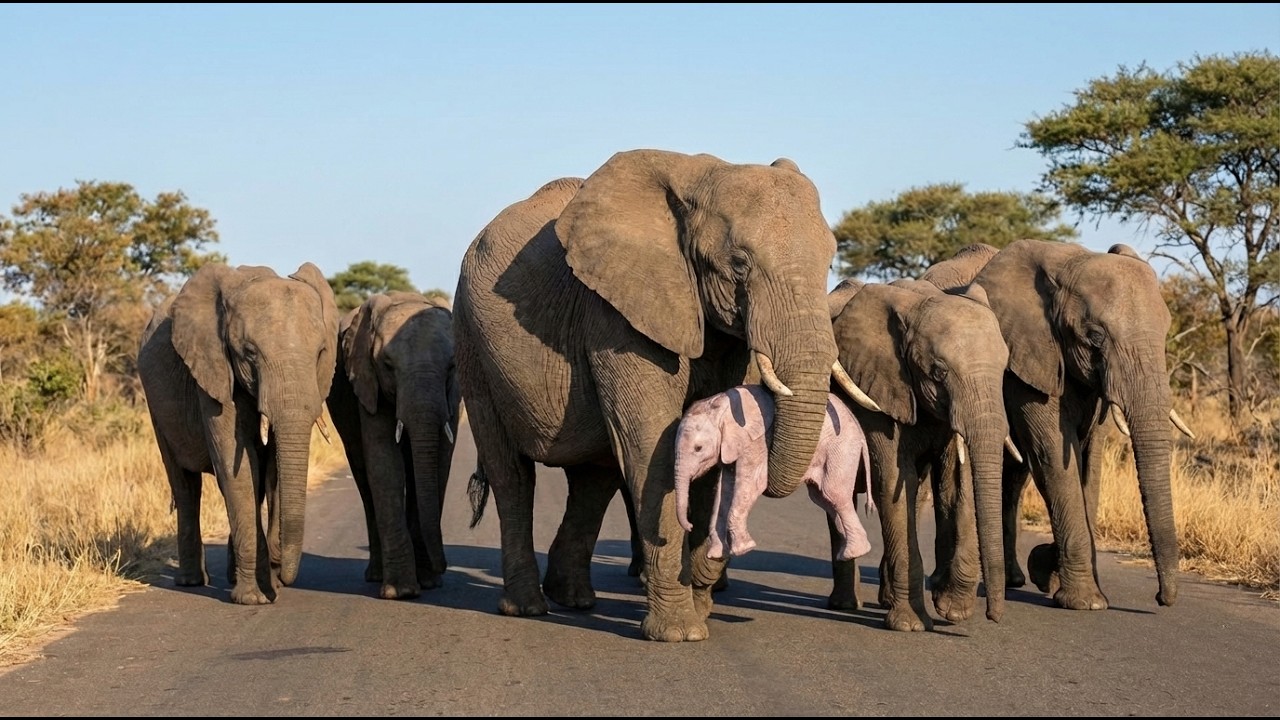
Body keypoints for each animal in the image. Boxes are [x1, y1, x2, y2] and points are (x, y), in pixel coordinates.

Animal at [137, 262, 339, 605]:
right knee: (186, 486)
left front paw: (268, 580)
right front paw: (254, 598)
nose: (283, 575)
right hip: (155, 406)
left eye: (321, 352)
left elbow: (270, 469)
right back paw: (191, 581)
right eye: (249, 353)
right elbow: (239, 467)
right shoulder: (213, 367)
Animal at [325, 291, 461, 600]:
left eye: (451, 367)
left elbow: (441, 462)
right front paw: (401, 591)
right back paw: (377, 575)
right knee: (364, 476)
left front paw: (428, 581)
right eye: (387, 365)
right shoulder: (366, 380)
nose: (444, 566)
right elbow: (384, 464)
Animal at [672, 384, 874, 563]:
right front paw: (716, 554)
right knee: (823, 498)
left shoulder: (757, 441)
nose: (690, 526)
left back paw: (854, 552)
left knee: (834, 493)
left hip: (842, 449)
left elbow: (752, 485)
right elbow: (725, 491)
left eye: (698, 448)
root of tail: (859, 429)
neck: (721, 403)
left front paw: (745, 548)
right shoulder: (731, 447)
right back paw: (849, 549)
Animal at [824, 277, 1012, 631]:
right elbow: (894, 482)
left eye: (1005, 370)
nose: (994, 616)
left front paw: (953, 609)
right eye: (938, 372)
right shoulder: (874, 388)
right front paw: (912, 625)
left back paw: (883, 599)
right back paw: (844, 604)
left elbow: (954, 484)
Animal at [927, 239, 1193, 611]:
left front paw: (1048, 574)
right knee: (952, 470)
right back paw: (943, 584)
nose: (1161, 599)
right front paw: (1085, 601)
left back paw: (1012, 580)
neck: (1070, 262)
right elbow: (1053, 453)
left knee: (1013, 477)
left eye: (1166, 331)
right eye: (1095, 336)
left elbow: (1089, 461)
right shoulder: (1027, 357)